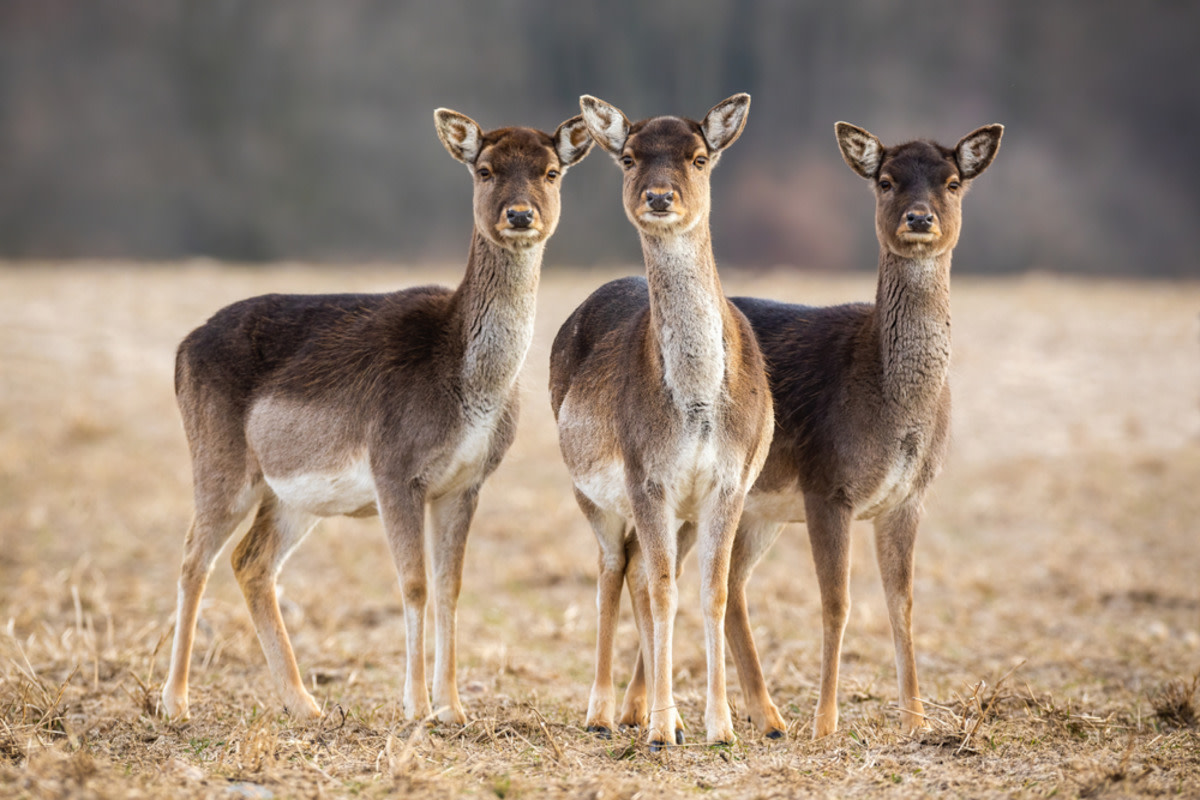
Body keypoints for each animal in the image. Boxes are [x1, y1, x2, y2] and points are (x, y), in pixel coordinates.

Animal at [158, 109, 593, 724]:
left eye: (552, 171)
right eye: (484, 169)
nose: (519, 214)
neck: (471, 388)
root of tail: (182, 349)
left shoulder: (466, 482)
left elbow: (451, 585)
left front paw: (452, 709)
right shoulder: (394, 468)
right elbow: (413, 583)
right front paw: (415, 706)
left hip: (292, 496)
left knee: (251, 562)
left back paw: (304, 704)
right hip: (220, 461)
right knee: (194, 557)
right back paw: (174, 702)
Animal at [549, 94, 773, 750]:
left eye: (699, 157)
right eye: (628, 157)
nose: (658, 196)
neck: (696, 406)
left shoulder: (728, 483)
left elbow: (712, 593)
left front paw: (720, 728)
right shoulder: (647, 477)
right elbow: (664, 591)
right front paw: (660, 730)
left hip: (679, 515)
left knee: (640, 575)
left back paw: (650, 713)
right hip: (589, 489)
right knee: (613, 570)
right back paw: (604, 712)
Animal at [618, 121, 1003, 740]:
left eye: (952, 182)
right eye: (886, 180)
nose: (919, 218)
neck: (895, 408)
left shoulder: (911, 496)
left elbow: (903, 603)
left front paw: (916, 719)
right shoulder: (828, 483)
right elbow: (837, 602)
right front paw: (826, 723)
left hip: (758, 507)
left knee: (725, 583)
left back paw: (760, 715)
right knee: (657, 568)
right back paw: (648, 713)